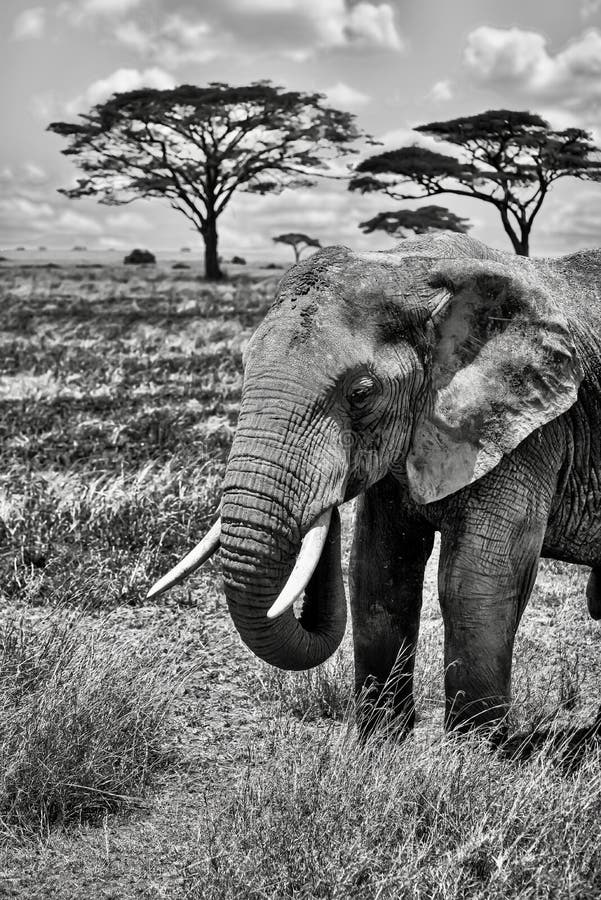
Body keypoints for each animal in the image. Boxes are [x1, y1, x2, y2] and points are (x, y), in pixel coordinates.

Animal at [148, 232, 601, 741]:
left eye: (361, 394)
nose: (324, 505)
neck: (418, 265)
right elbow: (379, 571)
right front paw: (380, 739)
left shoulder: (532, 433)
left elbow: (475, 582)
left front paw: (474, 751)